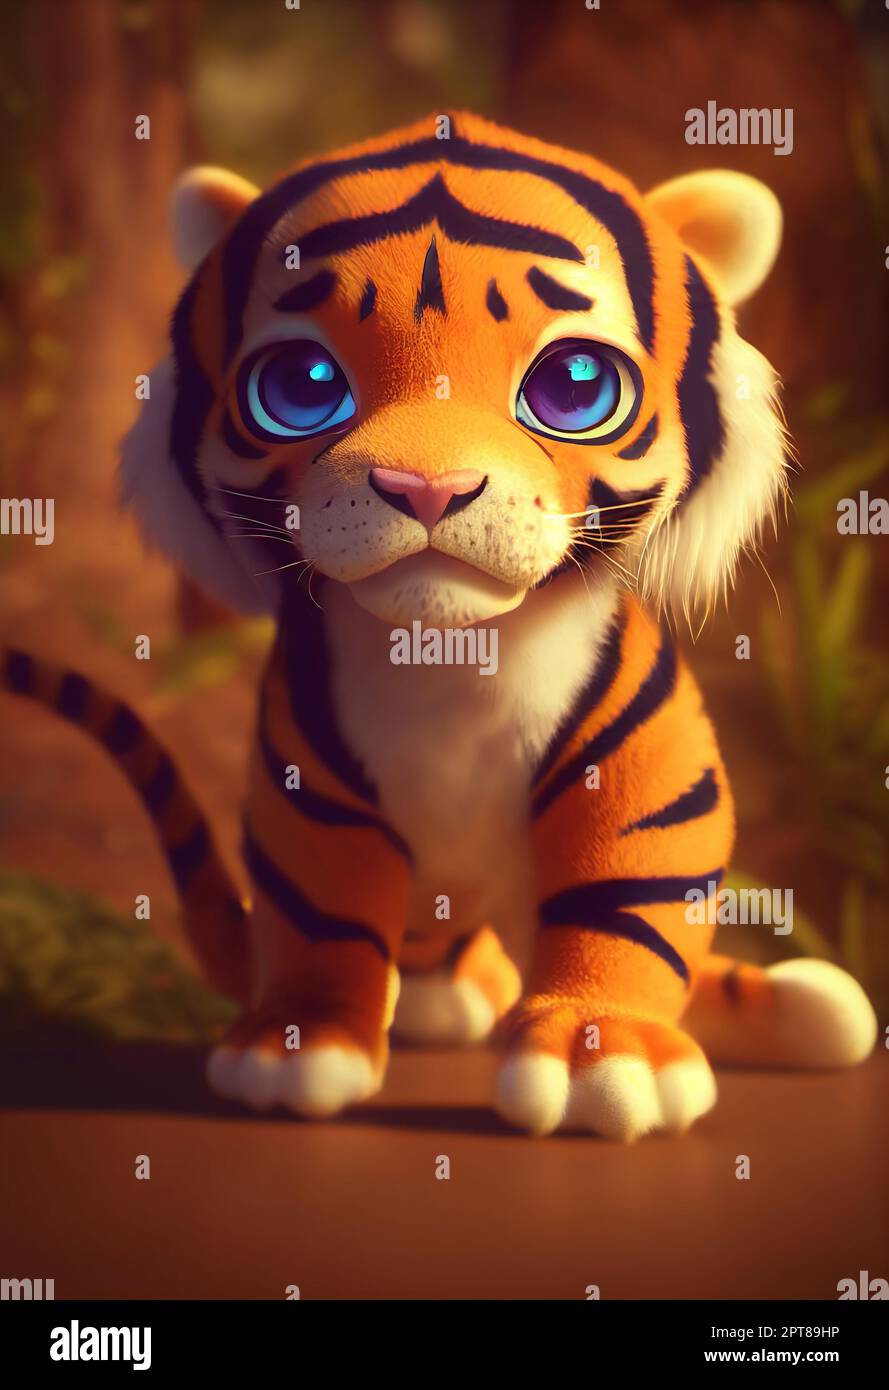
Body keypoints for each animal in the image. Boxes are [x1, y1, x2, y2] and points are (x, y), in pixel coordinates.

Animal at [2, 111, 876, 1140]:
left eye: (575, 383)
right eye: (302, 382)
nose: (428, 487)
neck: (453, 651)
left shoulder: (650, 769)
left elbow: (631, 900)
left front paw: (604, 1057)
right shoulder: (307, 782)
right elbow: (319, 909)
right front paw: (296, 1046)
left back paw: (811, 1004)